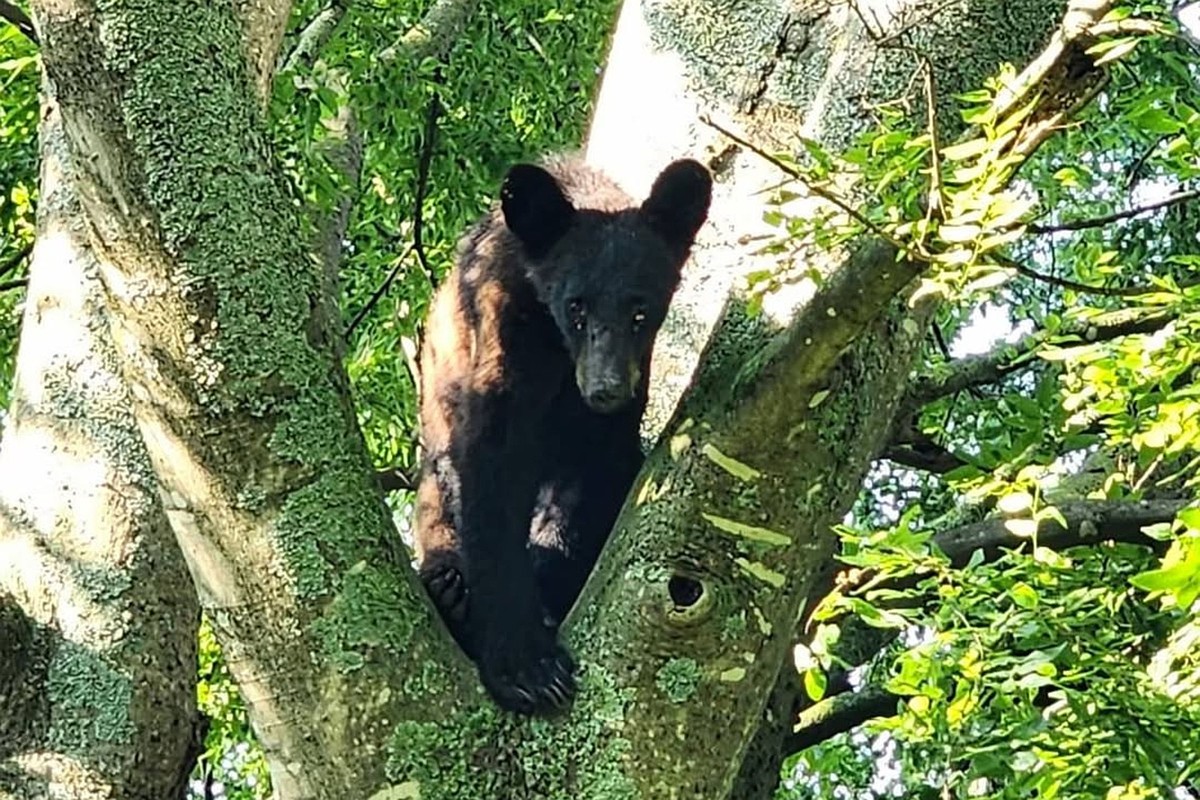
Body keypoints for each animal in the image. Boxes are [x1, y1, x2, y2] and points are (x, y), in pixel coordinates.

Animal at [413, 153, 712, 716]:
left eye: (641, 311)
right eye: (577, 306)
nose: (605, 388)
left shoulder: (607, 425)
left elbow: (587, 485)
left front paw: (549, 586)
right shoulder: (502, 335)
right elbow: (490, 470)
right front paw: (526, 668)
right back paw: (450, 590)